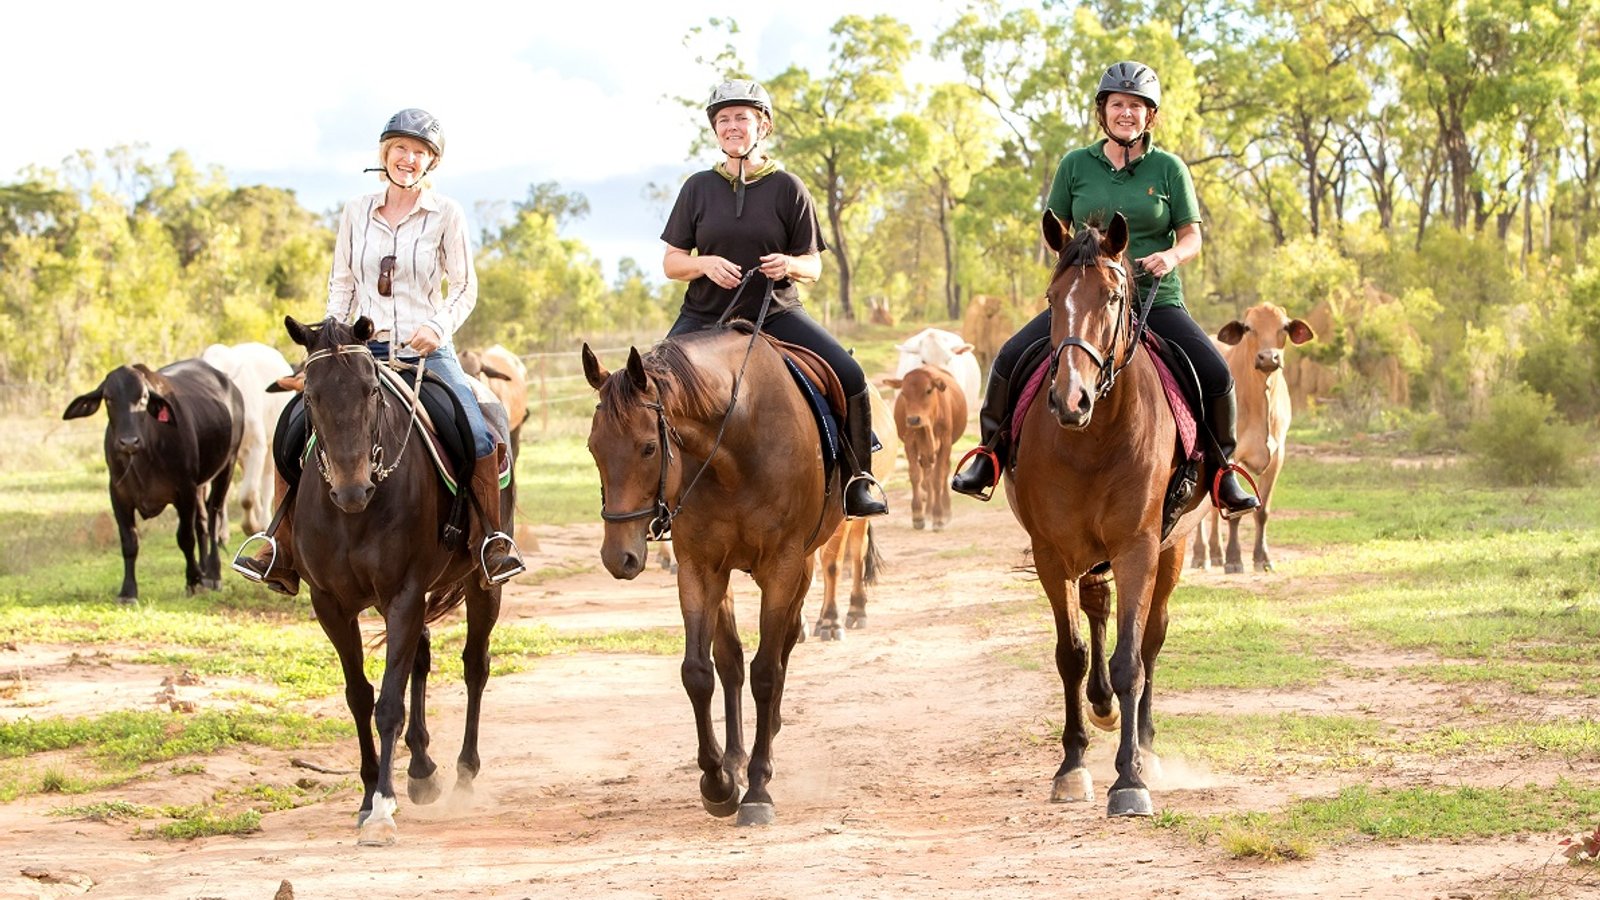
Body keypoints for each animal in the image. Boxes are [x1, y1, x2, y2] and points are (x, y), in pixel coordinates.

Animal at [286, 315, 505, 846]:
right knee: (420, 659)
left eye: (370, 390)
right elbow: (360, 696)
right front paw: (368, 797)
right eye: (310, 397)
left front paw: (382, 809)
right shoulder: (330, 604)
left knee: (475, 666)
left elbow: (388, 702)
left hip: (482, 584)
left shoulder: (404, 594)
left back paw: (463, 773)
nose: (352, 490)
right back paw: (422, 770)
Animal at [582, 323, 844, 826]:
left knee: (783, 645)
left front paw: (758, 789)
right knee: (731, 661)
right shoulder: (700, 569)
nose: (618, 557)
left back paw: (767, 739)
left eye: (648, 447)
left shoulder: (782, 565)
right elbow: (699, 672)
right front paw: (718, 782)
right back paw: (735, 758)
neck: (735, 444)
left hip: (802, 564)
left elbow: (767, 673)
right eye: (593, 448)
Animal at [1004, 211, 1210, 818]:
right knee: (1097, 611)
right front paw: (1071, 767)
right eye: (1052, 299)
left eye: (1114, 297)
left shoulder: (1136, 546)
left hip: (1173, 548)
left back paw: (1146, 746)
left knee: (1151, 639)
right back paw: (1100, 709)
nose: (1070, 399)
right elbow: (1071, 654)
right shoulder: (1051, 552)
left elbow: (1129, 660)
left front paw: (1130, 778)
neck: (1093, 438)